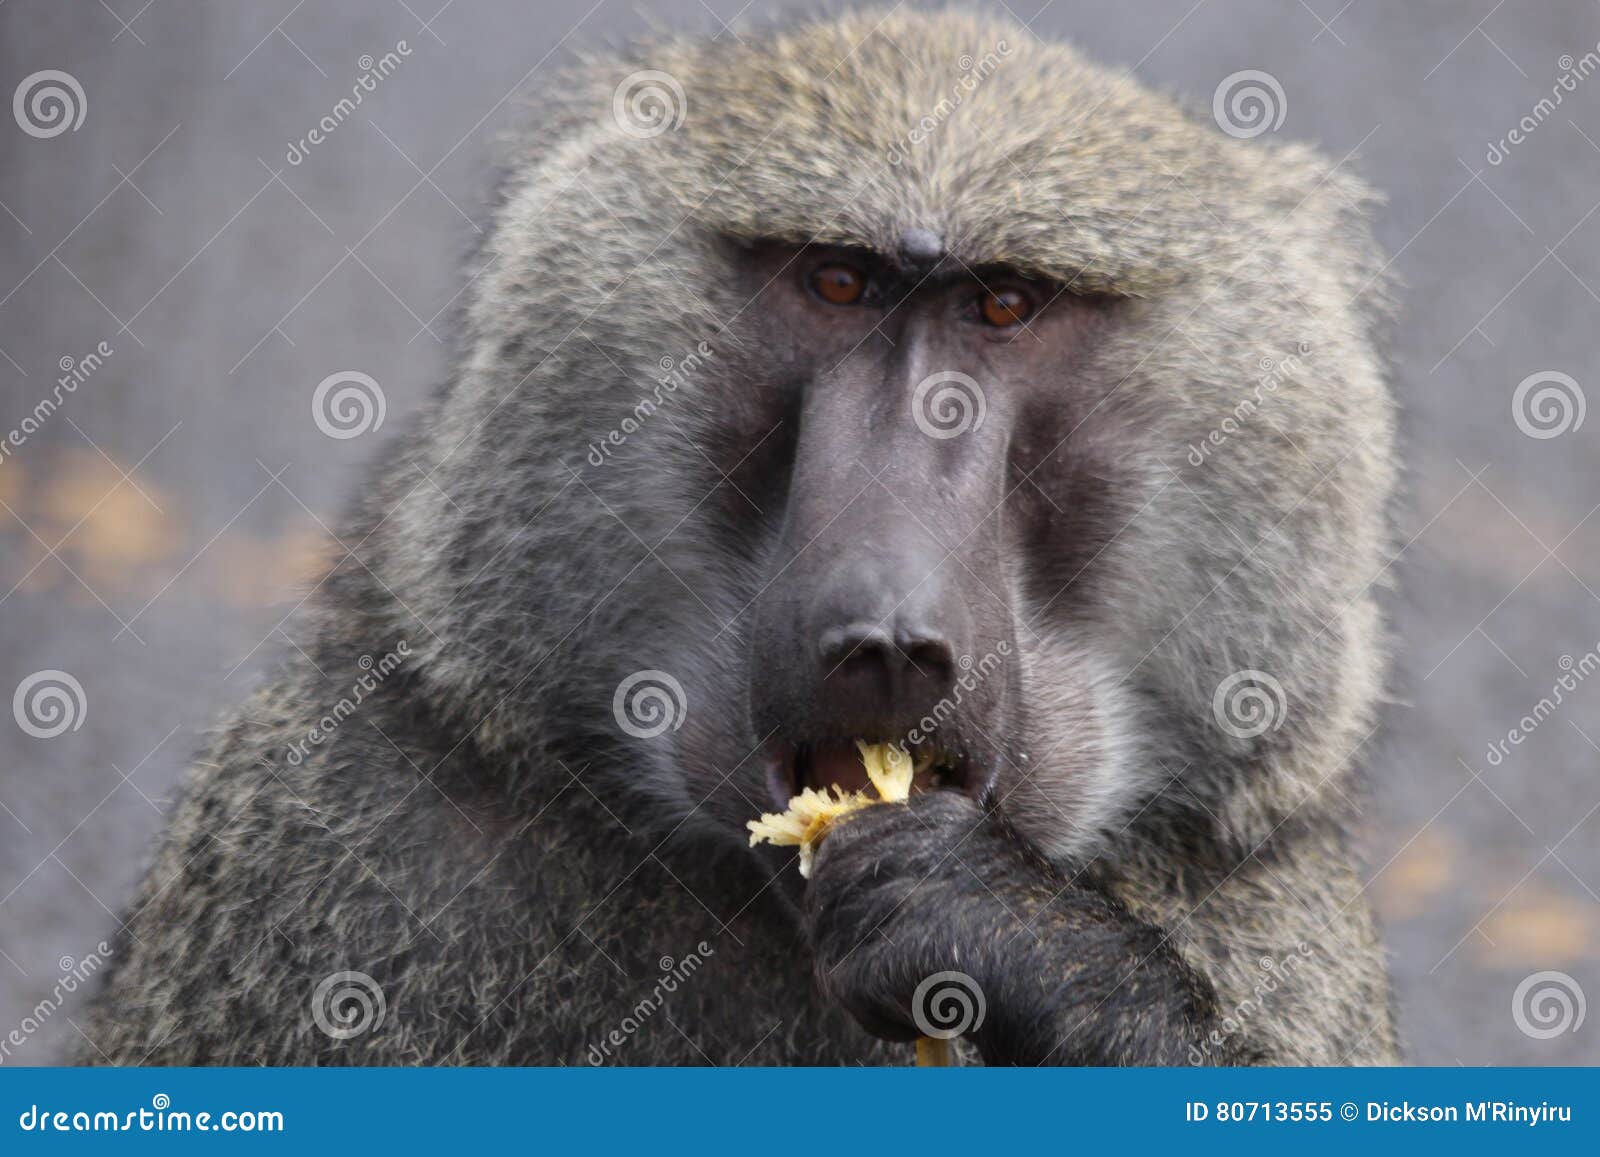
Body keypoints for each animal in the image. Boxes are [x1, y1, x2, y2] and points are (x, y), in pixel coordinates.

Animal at [81, 8, 1401, 1066]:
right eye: (835, 283)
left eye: (1004, 305)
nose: (887, 635)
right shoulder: (340, 834)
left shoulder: (1255, 898)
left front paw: (1006, 934)